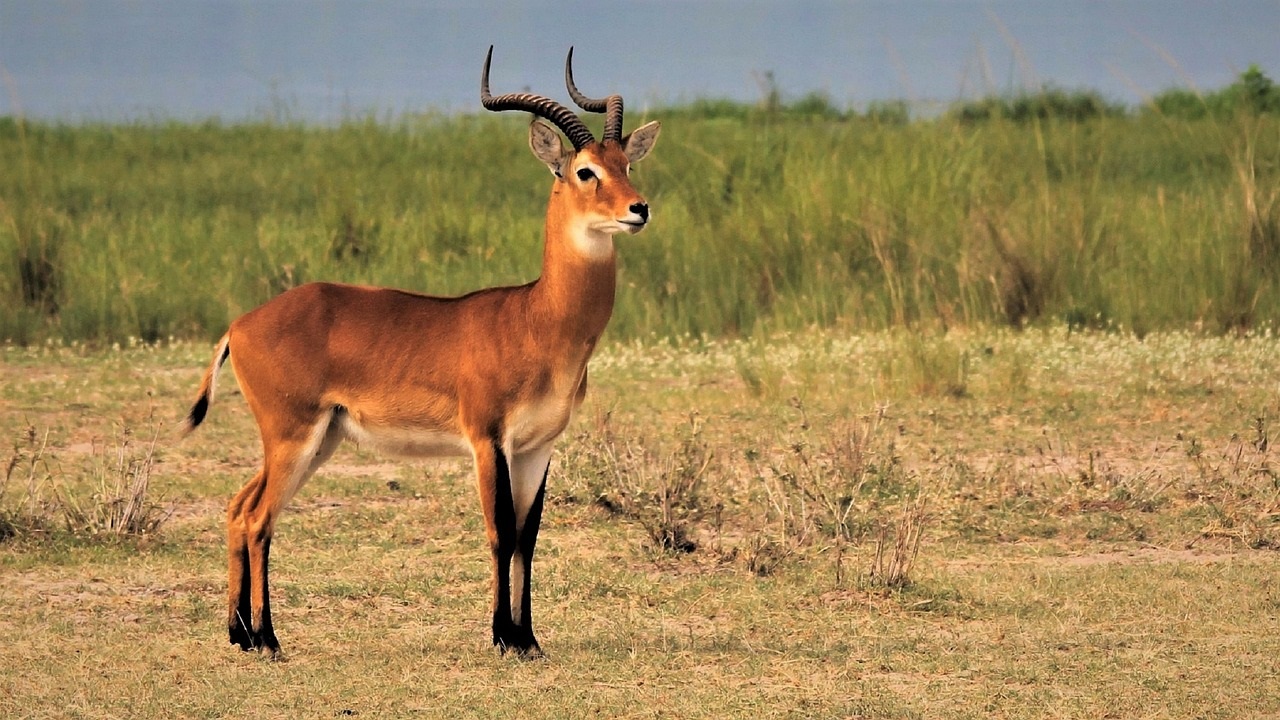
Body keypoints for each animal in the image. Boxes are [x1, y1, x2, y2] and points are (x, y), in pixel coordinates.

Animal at [181, 46, 660, 659]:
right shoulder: (488, 440)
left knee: (240, 507)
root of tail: (240, 324)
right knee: (260, 518)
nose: (638, 208)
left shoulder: (538, 446)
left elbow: (528, 535)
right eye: (585, 171)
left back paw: (239, 634)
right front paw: (502, 637)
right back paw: (267, 639)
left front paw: (529, 639)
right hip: (292, 436)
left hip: (317, 440)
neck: (536, 319)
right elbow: (500, 531)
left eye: (627, 164)